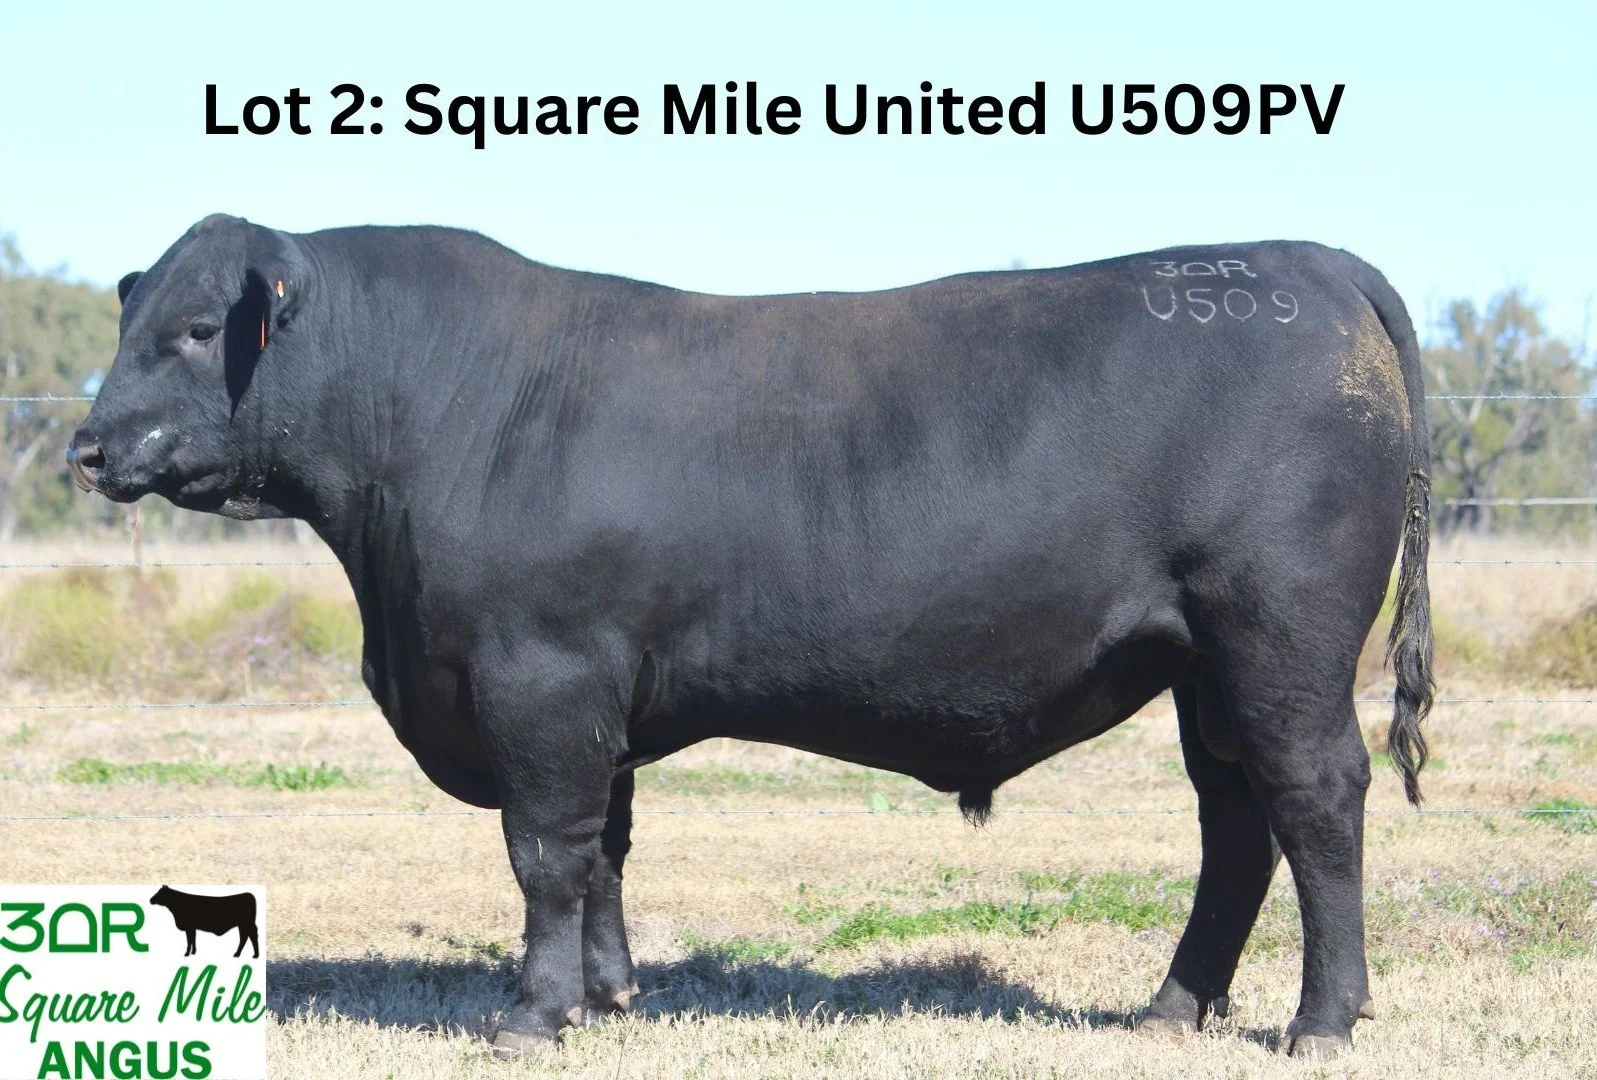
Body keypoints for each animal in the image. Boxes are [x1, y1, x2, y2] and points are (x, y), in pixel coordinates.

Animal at [68, 215, 1432, 1060]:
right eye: (130, 323)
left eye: (198, 329)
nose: (86, 447)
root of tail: (1305, 261)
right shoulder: (593, 694)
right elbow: (606, 851)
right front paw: (611, 994)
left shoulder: (538, 680)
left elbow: (544, 852)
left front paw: (532, 1014)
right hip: (1203, 665)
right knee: (1233, 817)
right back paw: (1169, 1008)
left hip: (1278, 637)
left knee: (1314, 797)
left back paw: (1320, 1020)